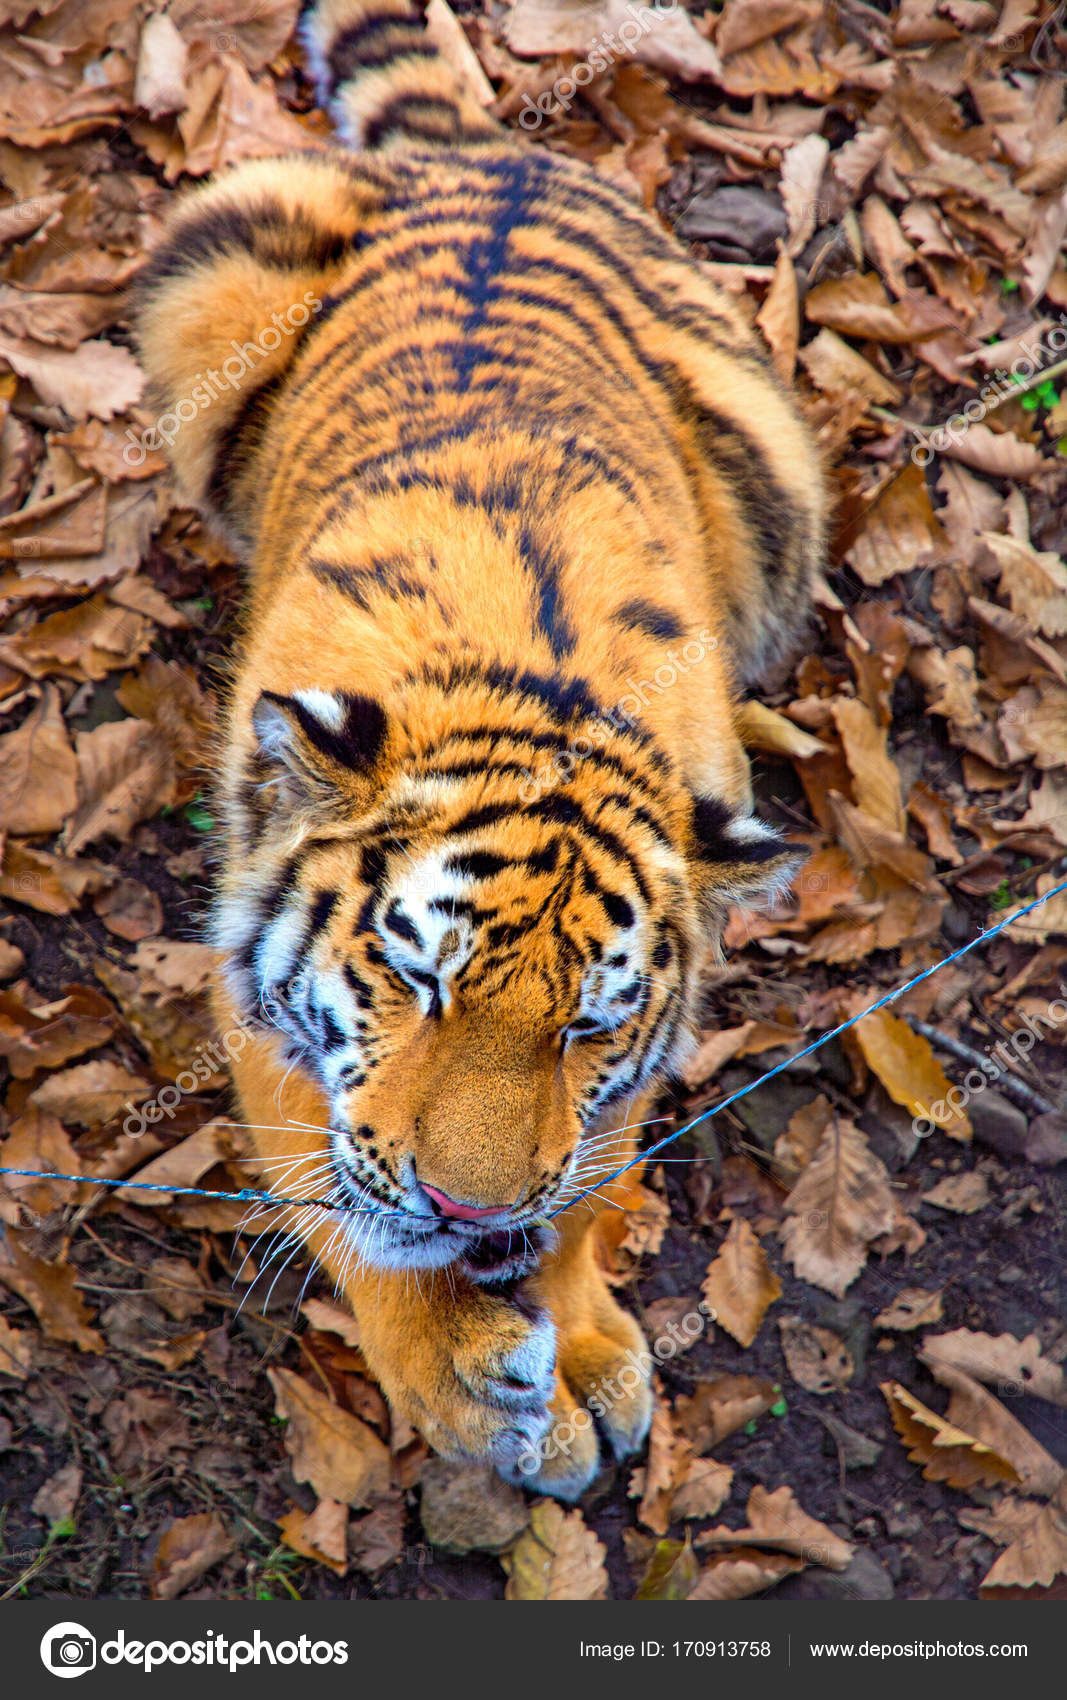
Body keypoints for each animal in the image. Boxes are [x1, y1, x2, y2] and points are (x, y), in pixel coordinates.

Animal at [134, 0, 825, 1499]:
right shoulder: (255, 998)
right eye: (413, 977)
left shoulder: (622, 1072)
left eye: (586, 1022)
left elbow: (582, 1183)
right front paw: (454, 1371)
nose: (468, 1206)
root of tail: (482, 157)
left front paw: (579, 1344)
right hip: (204, 276)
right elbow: (334, 1189)